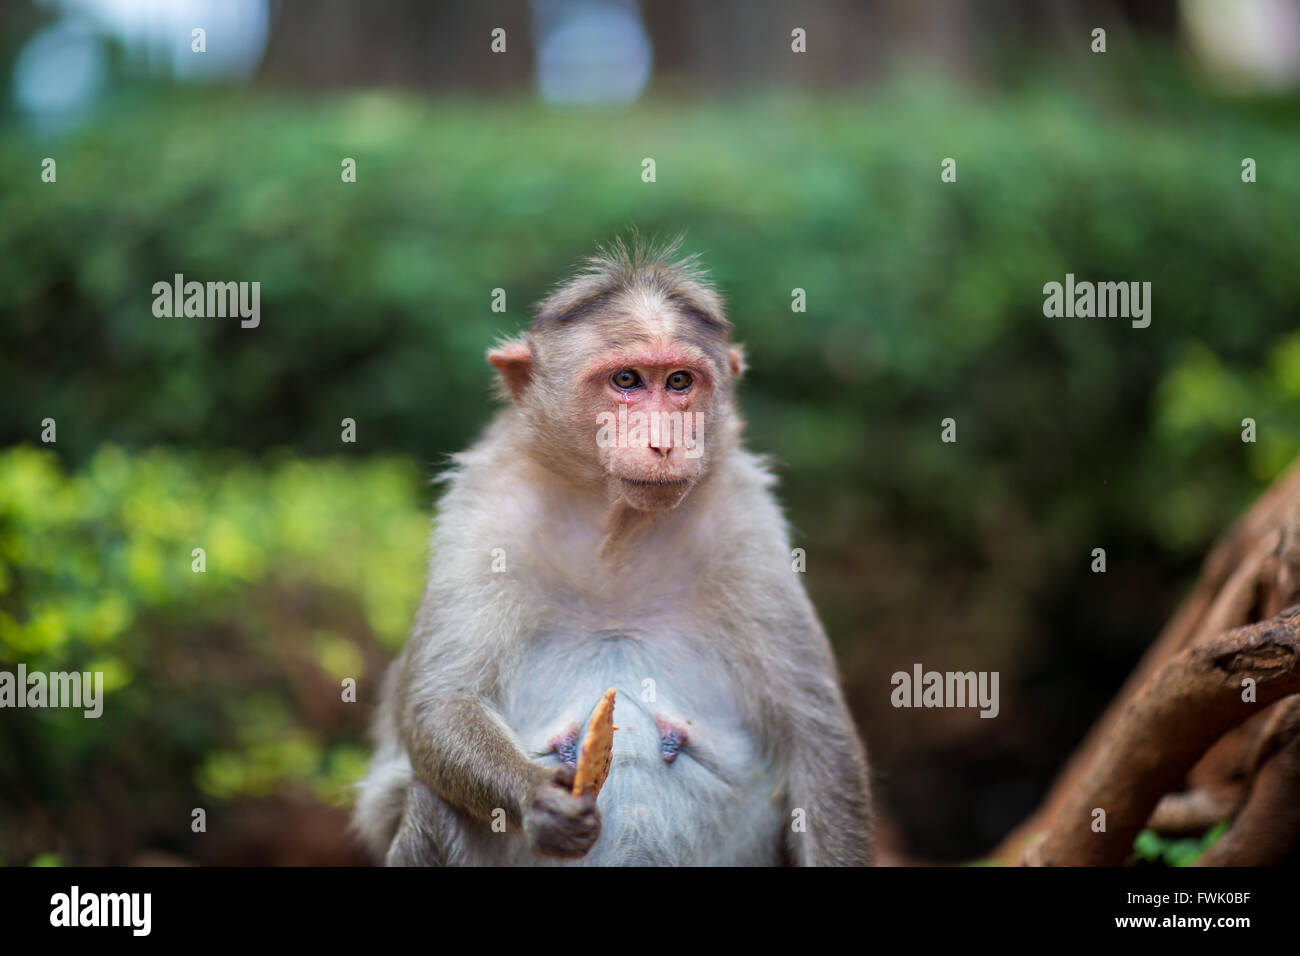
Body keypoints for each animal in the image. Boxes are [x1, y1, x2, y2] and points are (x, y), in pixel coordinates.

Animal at [354, 236, 873, 866]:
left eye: (679, 383)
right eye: (626, 379)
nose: (666, 443)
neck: (616, 532)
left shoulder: (749, 524)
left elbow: (816, 740)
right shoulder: (483, 516)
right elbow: (441, 702)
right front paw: (539, 798)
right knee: (433, 798)